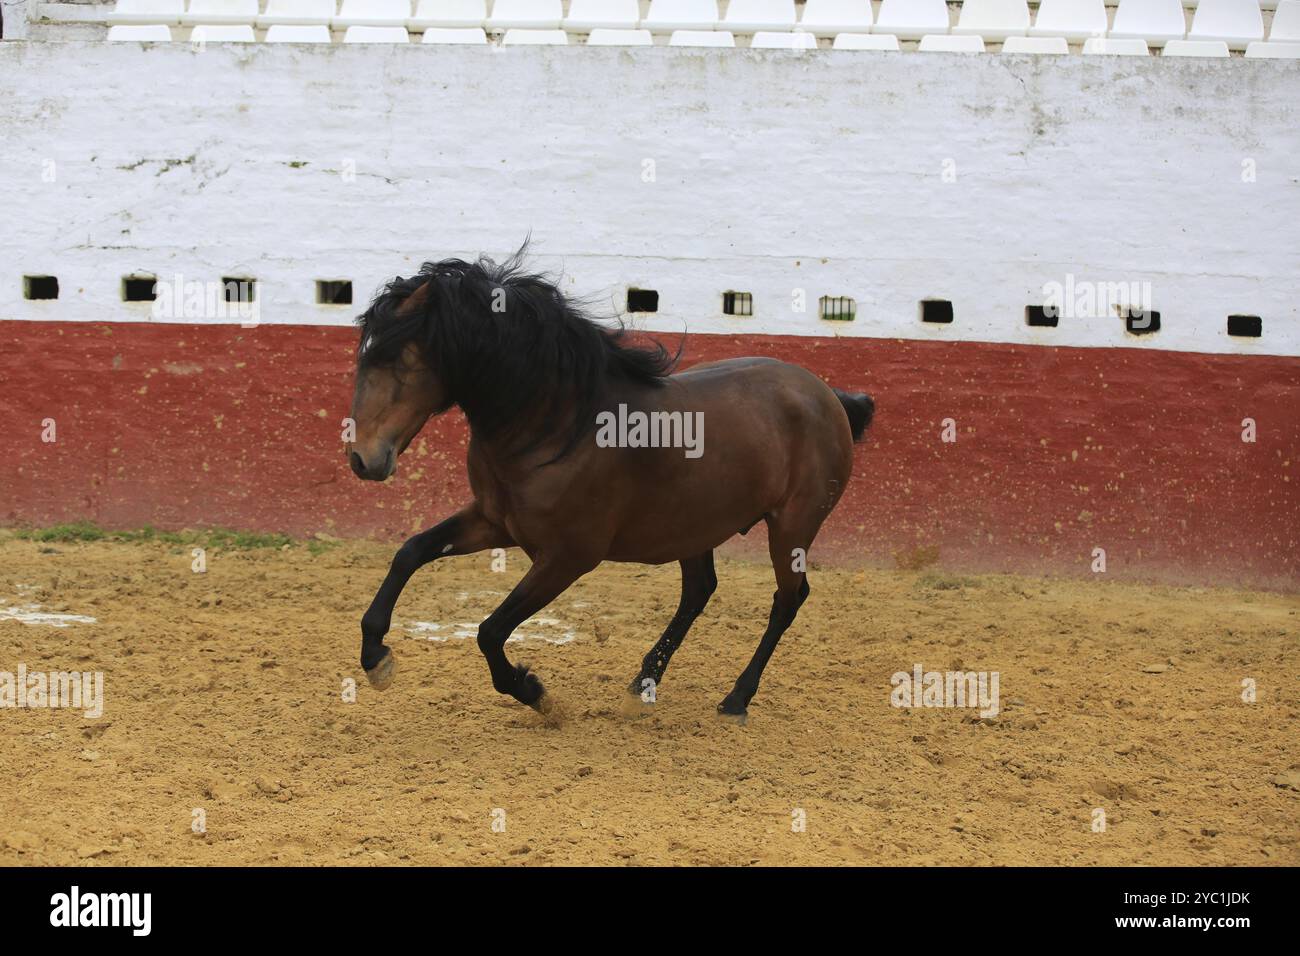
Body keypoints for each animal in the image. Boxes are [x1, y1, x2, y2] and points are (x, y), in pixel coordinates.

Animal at [346, 251, 874, 722]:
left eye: (398, 359)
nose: (362, 459)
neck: (554, 426)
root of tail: (828, 394)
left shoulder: (568, 556)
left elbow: (490, 632)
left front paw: (535, 693)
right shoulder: (494, 522)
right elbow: (411, 552)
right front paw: (376, 657)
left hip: (792, 527)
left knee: (787, 599)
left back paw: (736, 699)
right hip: (694, 527)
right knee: (699, 591)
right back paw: (642, 685)